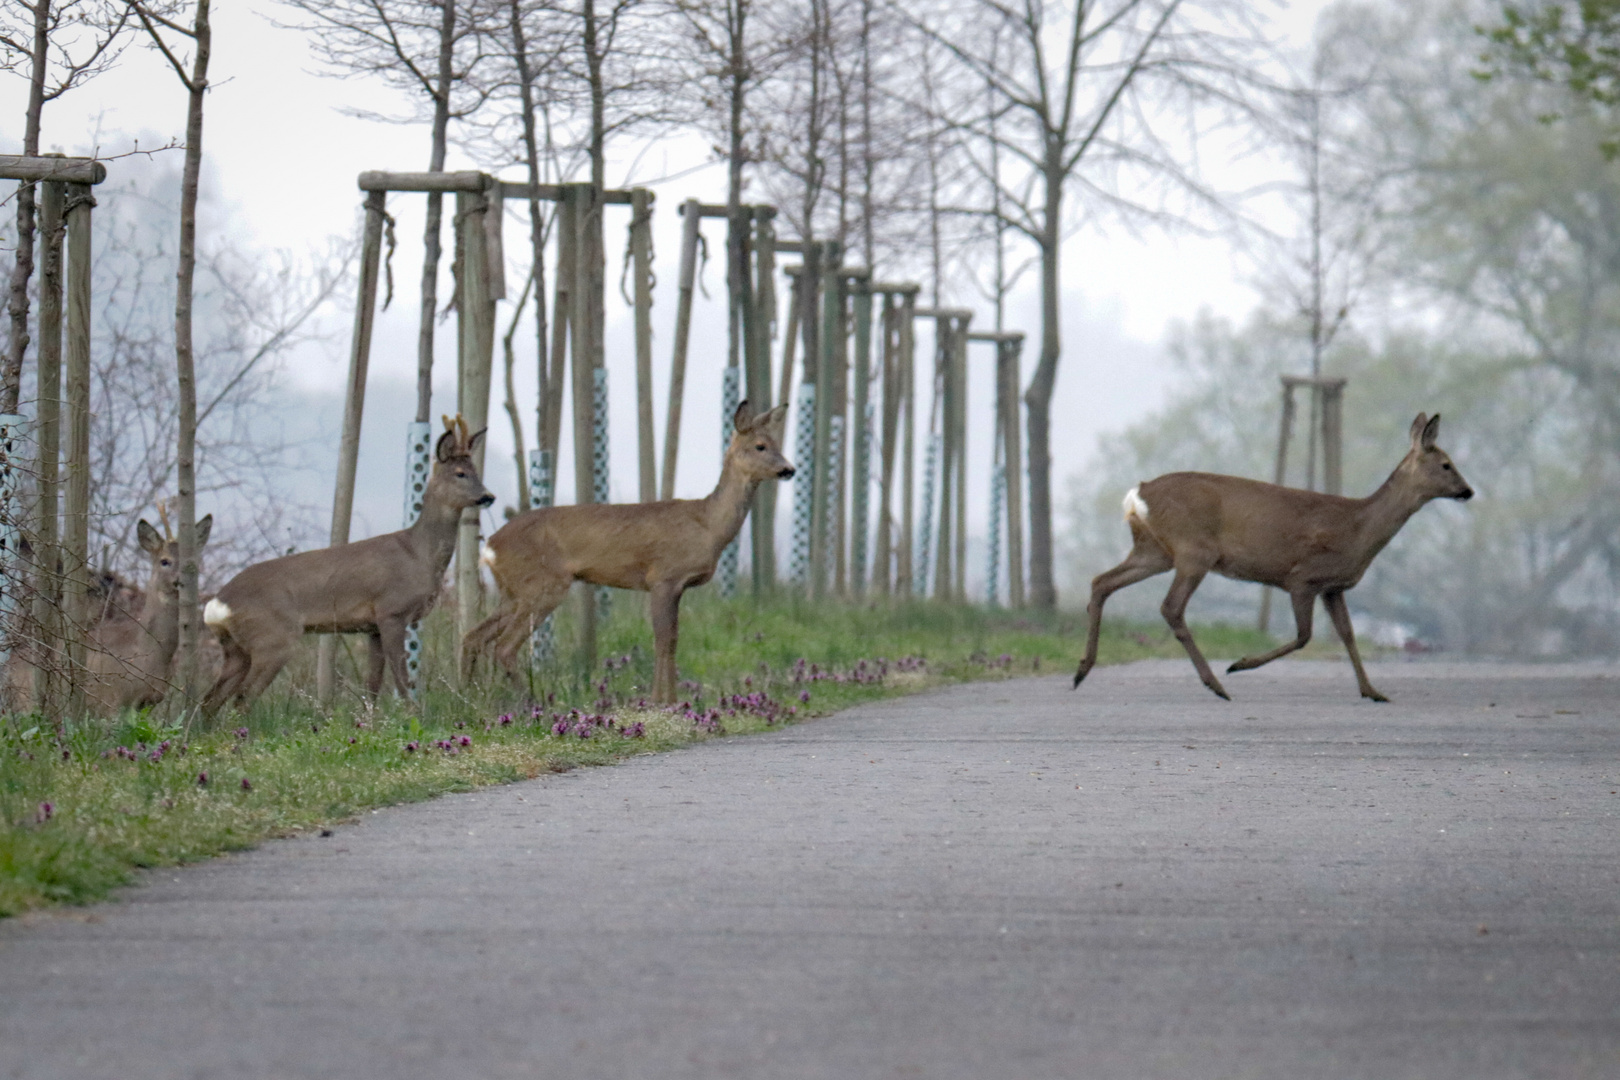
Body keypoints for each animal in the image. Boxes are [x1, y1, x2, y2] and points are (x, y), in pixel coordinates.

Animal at [201, 415, 493, 715]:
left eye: (476, 470)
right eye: (460, 473)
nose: (488, 496)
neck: (419, 554)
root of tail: (217, 604)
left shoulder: (372, 625)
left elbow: (372, 685)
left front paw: (371, 721)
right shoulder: (392, 610)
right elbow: (401, 680)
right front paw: (413, 715)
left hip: (236, 647)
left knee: (209, 701)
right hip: (272, 638)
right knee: (242, 698)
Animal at [461, 400, 793, 703]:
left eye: (777, 443)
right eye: (761, 446)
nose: (788, 469)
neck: (708, 525)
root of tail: (490, 546)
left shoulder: (677, 586)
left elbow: (672, 639)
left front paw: (669, 699)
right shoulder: (663, 577)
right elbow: (663, 640)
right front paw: (660, 701)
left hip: (512, 591)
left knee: (473, 636)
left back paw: (470, 697)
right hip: (543, 585)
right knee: (504, 646)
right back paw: (530, 703)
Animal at [1072, 413, 1473, 702]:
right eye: (1446, 464)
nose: (1468, 491)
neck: (1359, 528)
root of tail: (1137, 493)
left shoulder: (1333, 587)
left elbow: (1347, 635)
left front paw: (1373, 692)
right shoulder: (1302, 578)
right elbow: (1304, 636)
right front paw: (1240, 664)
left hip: (1154, 551)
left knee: (1102, 581)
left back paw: (1082, 670)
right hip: (1193, 550)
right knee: (1170, 607)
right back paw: (1217, 683)